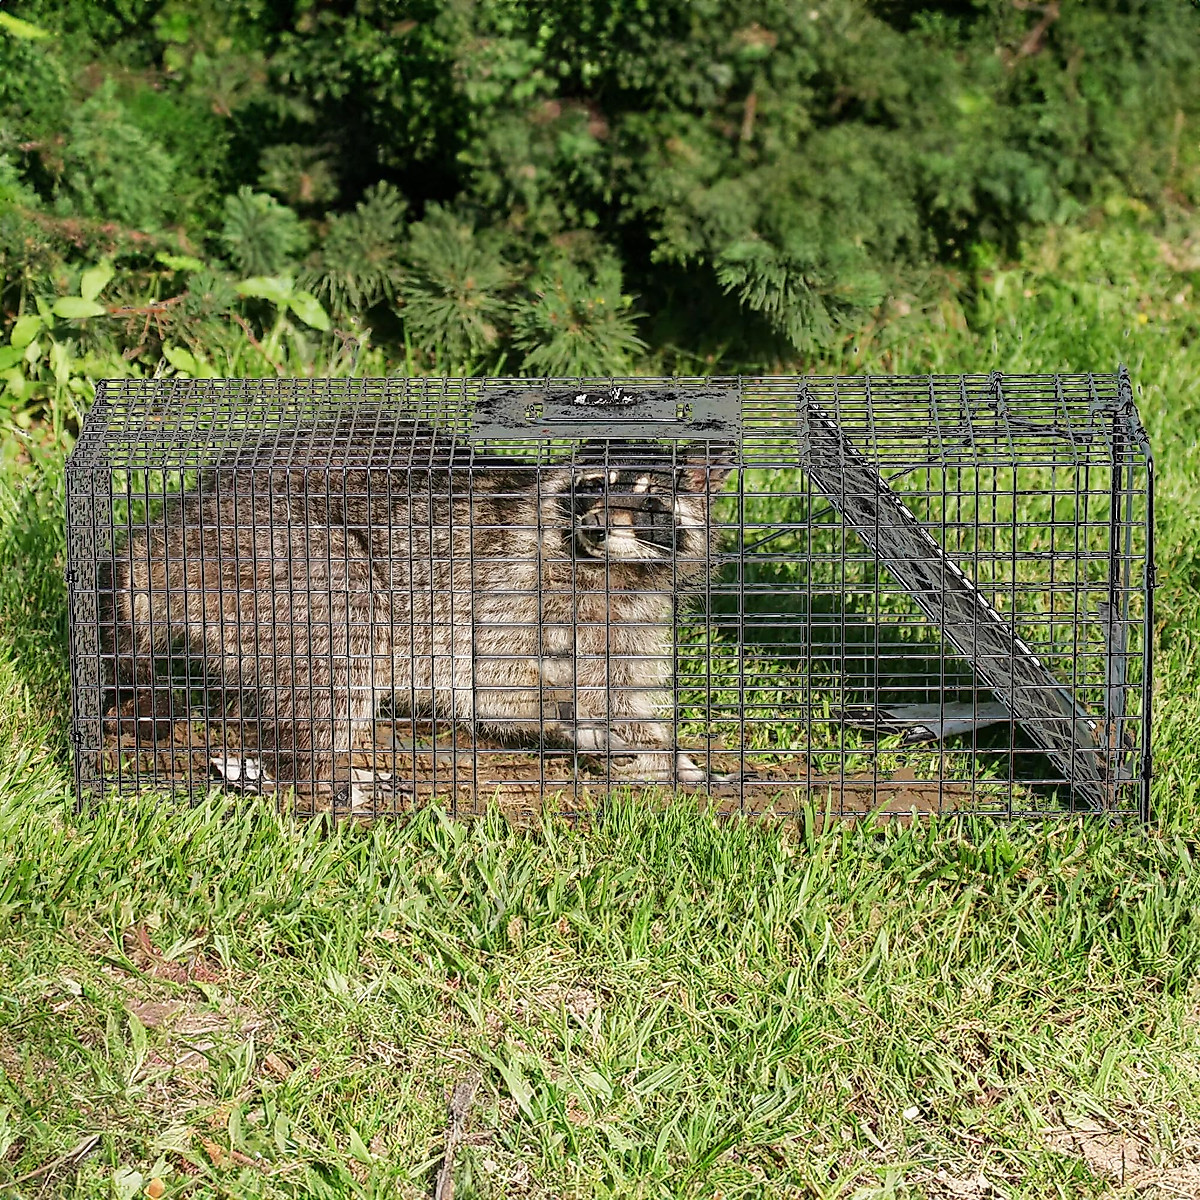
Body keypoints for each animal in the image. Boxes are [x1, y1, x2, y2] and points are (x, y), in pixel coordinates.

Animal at [107, 425, 732, 790]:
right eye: (593, 488)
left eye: (651, 504)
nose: (599, 528)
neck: (608, 571)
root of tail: (166, 532)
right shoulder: (499, 584)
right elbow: (494, 685)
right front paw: (569, 722)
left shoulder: (635, 620)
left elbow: (620, 694)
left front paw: (655, 749)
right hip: (281, 556)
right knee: (348, 635)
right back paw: (321, 773)